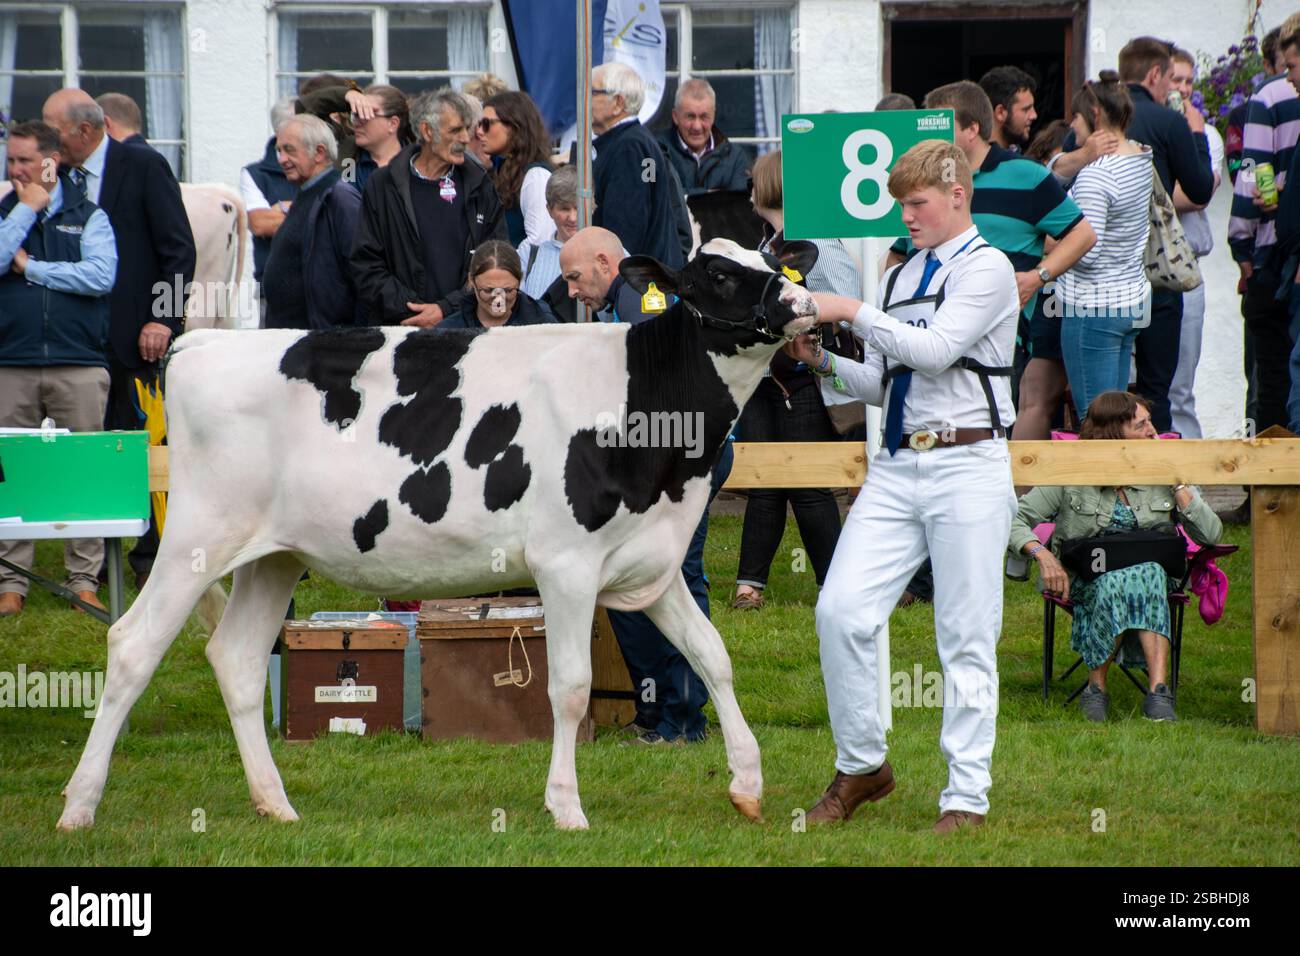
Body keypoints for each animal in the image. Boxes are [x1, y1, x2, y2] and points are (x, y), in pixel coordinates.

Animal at [56, 238, 820, 832]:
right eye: (716, 274)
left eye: (771, 258)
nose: (801, 302)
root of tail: (205, 339)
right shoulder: (566, 564)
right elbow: (571, 686)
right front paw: (566, 807)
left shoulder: (649, 564)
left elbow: (713, 656)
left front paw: (748, 786)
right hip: (197, 535)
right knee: (133, 646)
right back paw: (79, 807)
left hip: (274, 556)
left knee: (236, 658)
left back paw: (276, 804)